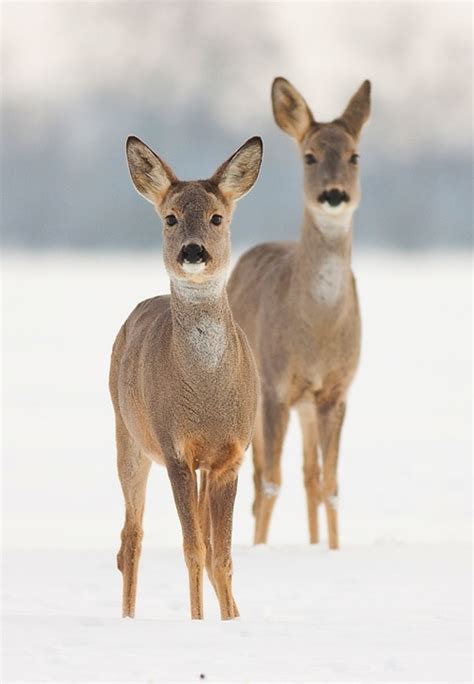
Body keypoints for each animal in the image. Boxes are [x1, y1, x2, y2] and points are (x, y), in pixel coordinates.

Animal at [109, 135, 263, 620]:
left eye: (217, 217)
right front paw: (197, 621)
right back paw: (127, 617)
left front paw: (229, 620)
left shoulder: (230, 455)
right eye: (170, 217)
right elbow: (193, 548)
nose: (193, 251)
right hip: (128, 436)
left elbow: (222, 554)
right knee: (130, 538)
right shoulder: (175, 448)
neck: (208, 395)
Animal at [227, 78, 371, 549]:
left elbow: (331, 484)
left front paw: (333, 550)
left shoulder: (336, 391)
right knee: (258, 479)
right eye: (309, 156)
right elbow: (271, 481)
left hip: (306, 406)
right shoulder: (274, 387)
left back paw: (312, 543)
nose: (334, 194)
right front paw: (259, 549)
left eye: (354, 155)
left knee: (309, 475)